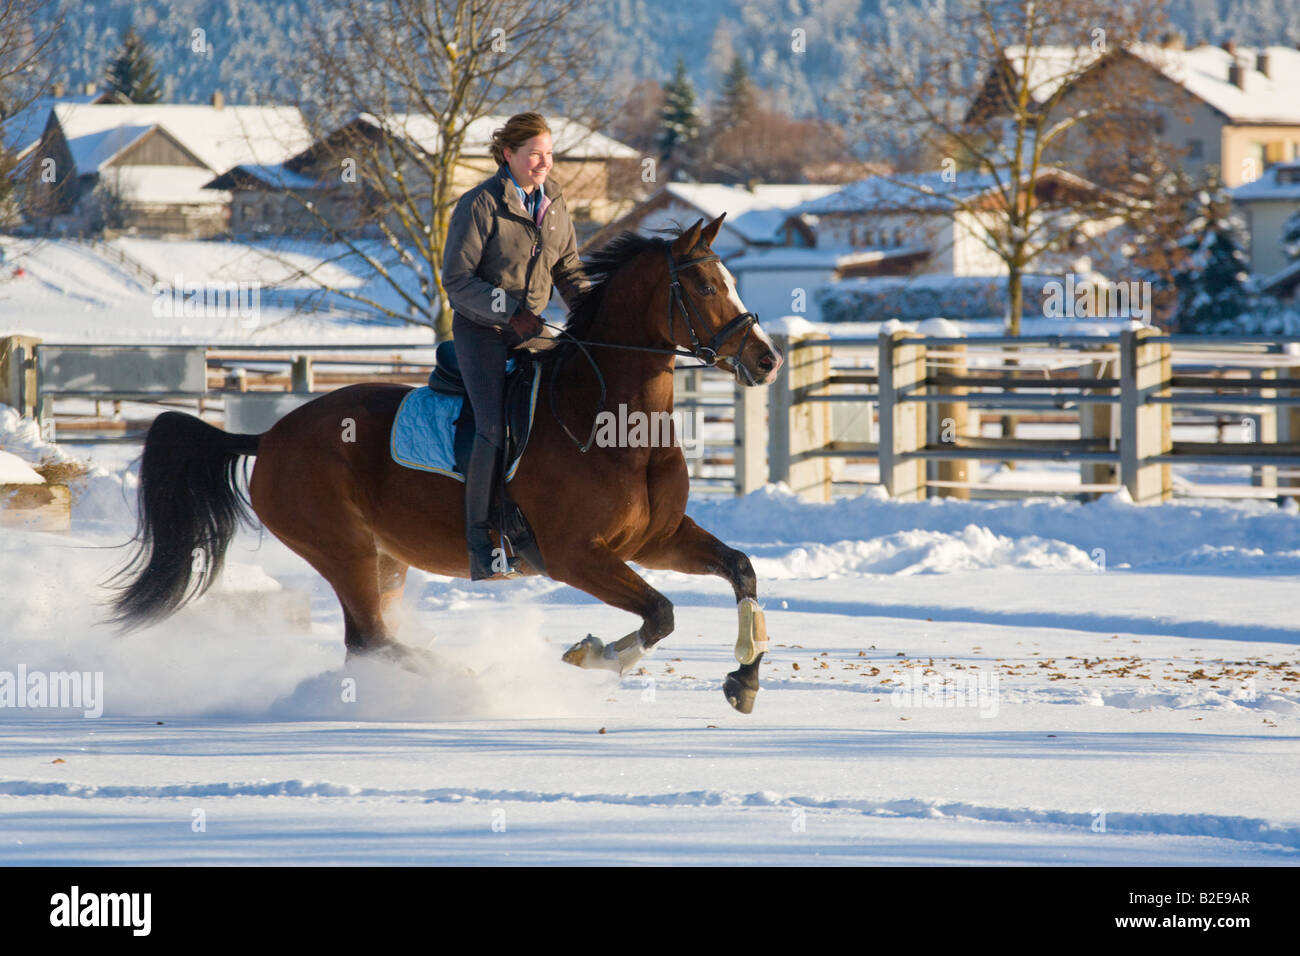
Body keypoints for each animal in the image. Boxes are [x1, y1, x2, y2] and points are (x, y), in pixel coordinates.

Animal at [107, 214, 784, 713]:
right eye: (704, 286)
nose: (767, 359)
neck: (614, 423)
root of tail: (269, 436)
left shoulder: (656, 539)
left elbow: (740, 570)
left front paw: (744, 681)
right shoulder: (575, 555)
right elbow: (660, 612)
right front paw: (590, 653)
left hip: (385, 559)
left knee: (370, 640)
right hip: (343, 551)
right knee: (371, 640)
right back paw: (464, 682)